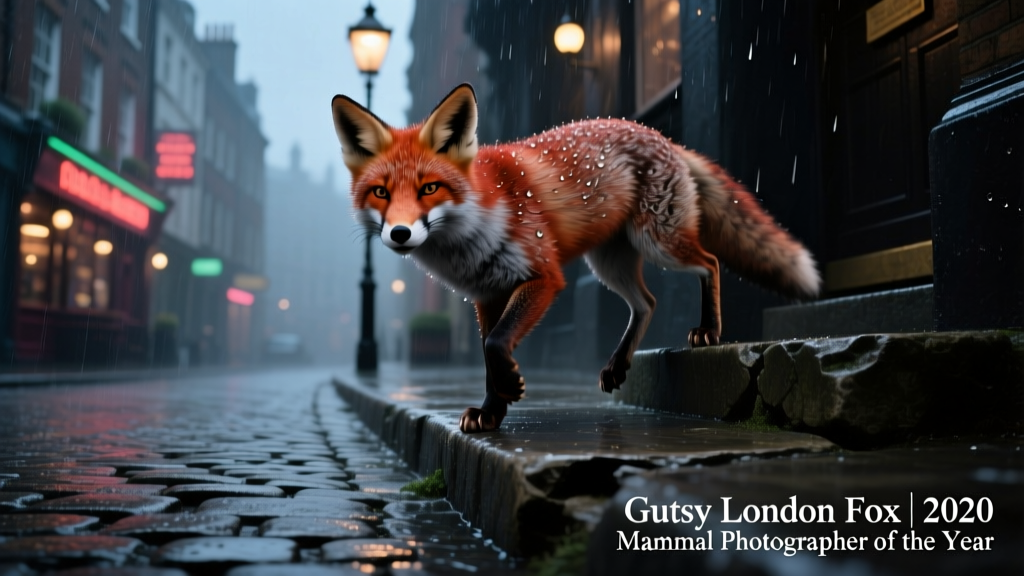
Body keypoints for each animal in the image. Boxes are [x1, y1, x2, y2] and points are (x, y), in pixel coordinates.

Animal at [331, 83, 820, 434]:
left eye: (430, 188)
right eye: (381, 193)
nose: (399, 233)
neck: (470, 234)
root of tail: (661, 136)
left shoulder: (543, 276)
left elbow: (496, 345)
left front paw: (509, 389)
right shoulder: (487, 295)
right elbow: (490, 354)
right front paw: (492, 412)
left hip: (658, 243)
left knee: (711, 262)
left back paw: (709, 330)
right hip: (609, 264)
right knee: (647, 303)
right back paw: (619, 365)